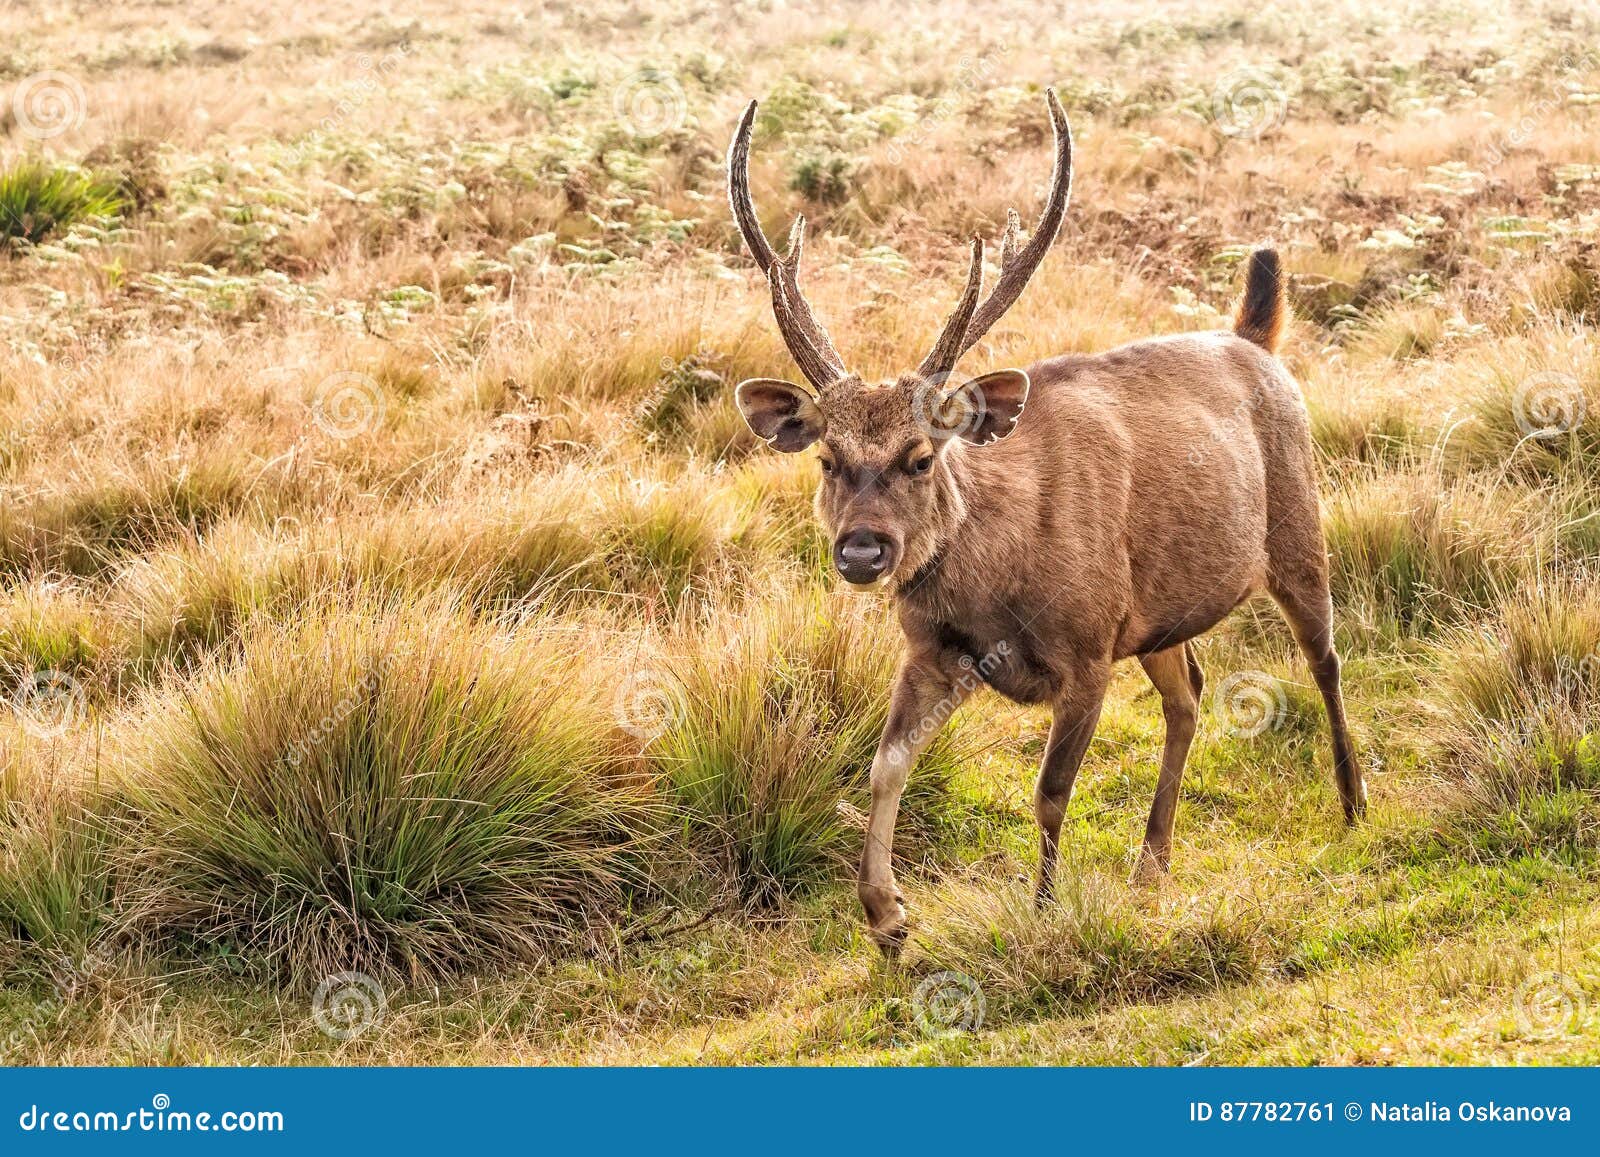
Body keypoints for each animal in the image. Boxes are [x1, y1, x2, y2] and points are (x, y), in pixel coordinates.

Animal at [726, 90, 1366, 954]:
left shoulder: (1088, 646)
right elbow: (884, 764)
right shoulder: (933, 648)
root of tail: (1252, 338)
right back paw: (1152, 860)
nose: (862, 550)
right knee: (1190, 691)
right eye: (828, 458)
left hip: (1298, 517)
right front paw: (886, 916)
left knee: (1325, 658)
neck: (999, 580)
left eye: (920, 456)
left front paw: (1043, 909)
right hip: (1155, 614)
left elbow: (1050, 791)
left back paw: (1354, 802)